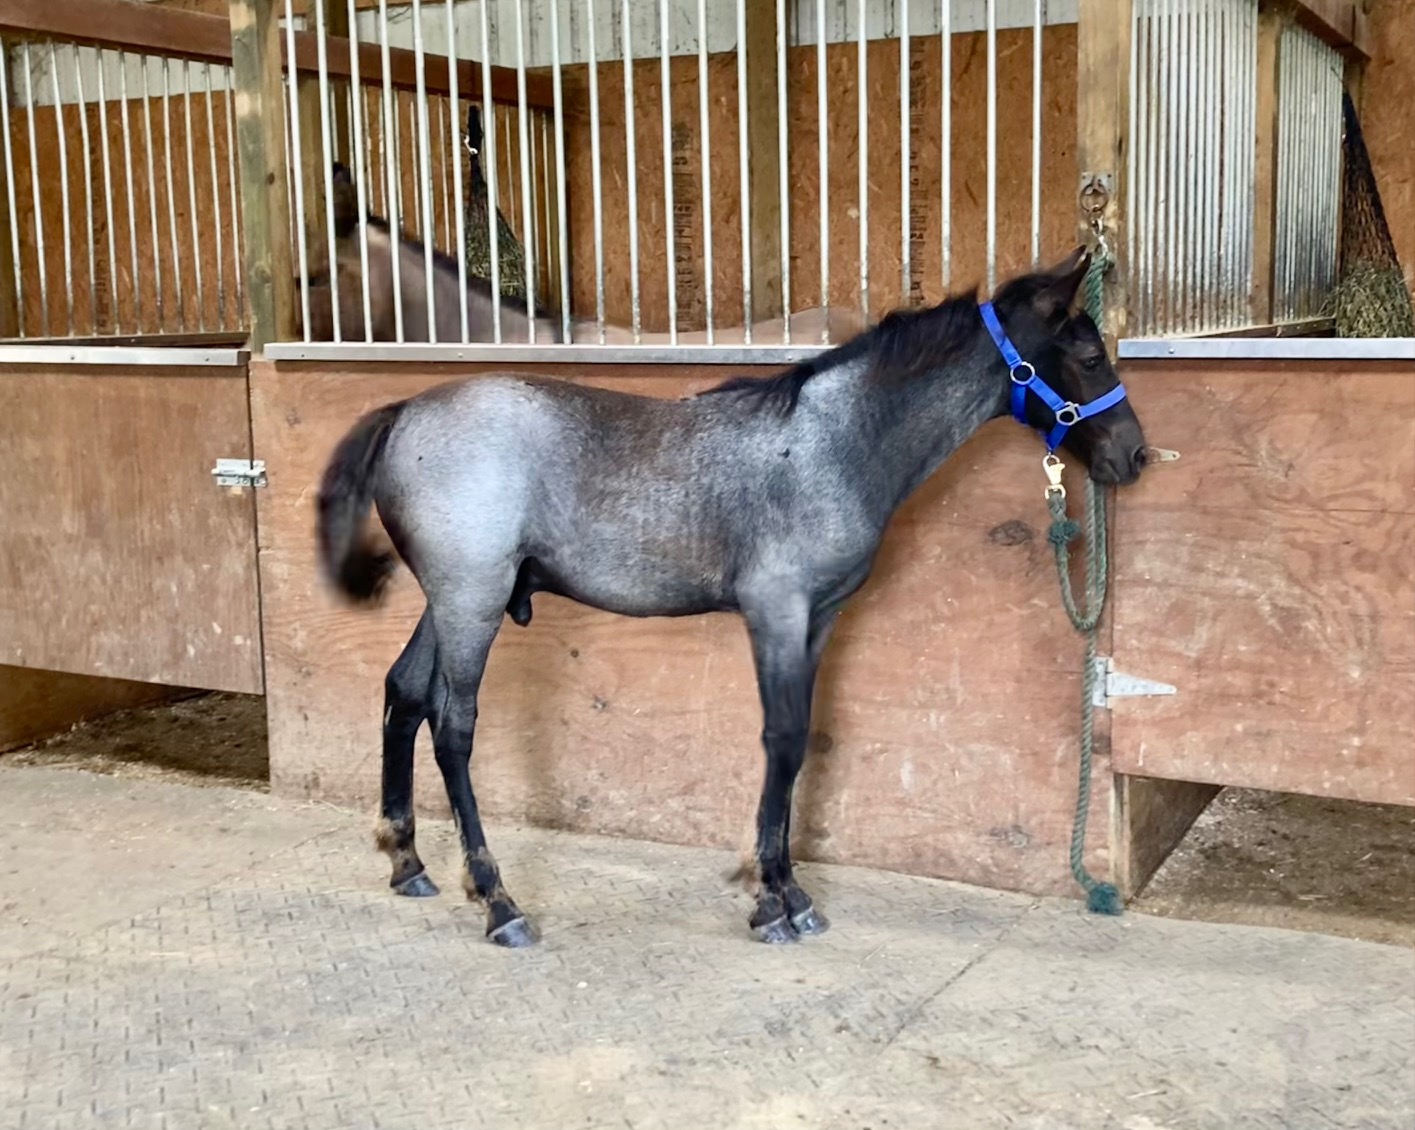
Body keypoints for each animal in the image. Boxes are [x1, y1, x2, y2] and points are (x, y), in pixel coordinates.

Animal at [315, 247, 1149, 947]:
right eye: (1086, 354)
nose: (1134, 455)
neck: (830, 444)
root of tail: (404, 412)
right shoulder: (775, 612)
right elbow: (780, 739)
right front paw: (771, 900)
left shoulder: (817, 622)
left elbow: (799, 738)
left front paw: (789, 891)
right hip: (472, 599)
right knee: (452, 725)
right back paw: (498, 903)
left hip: (451, 600)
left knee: (403, 693)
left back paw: (407, 864)